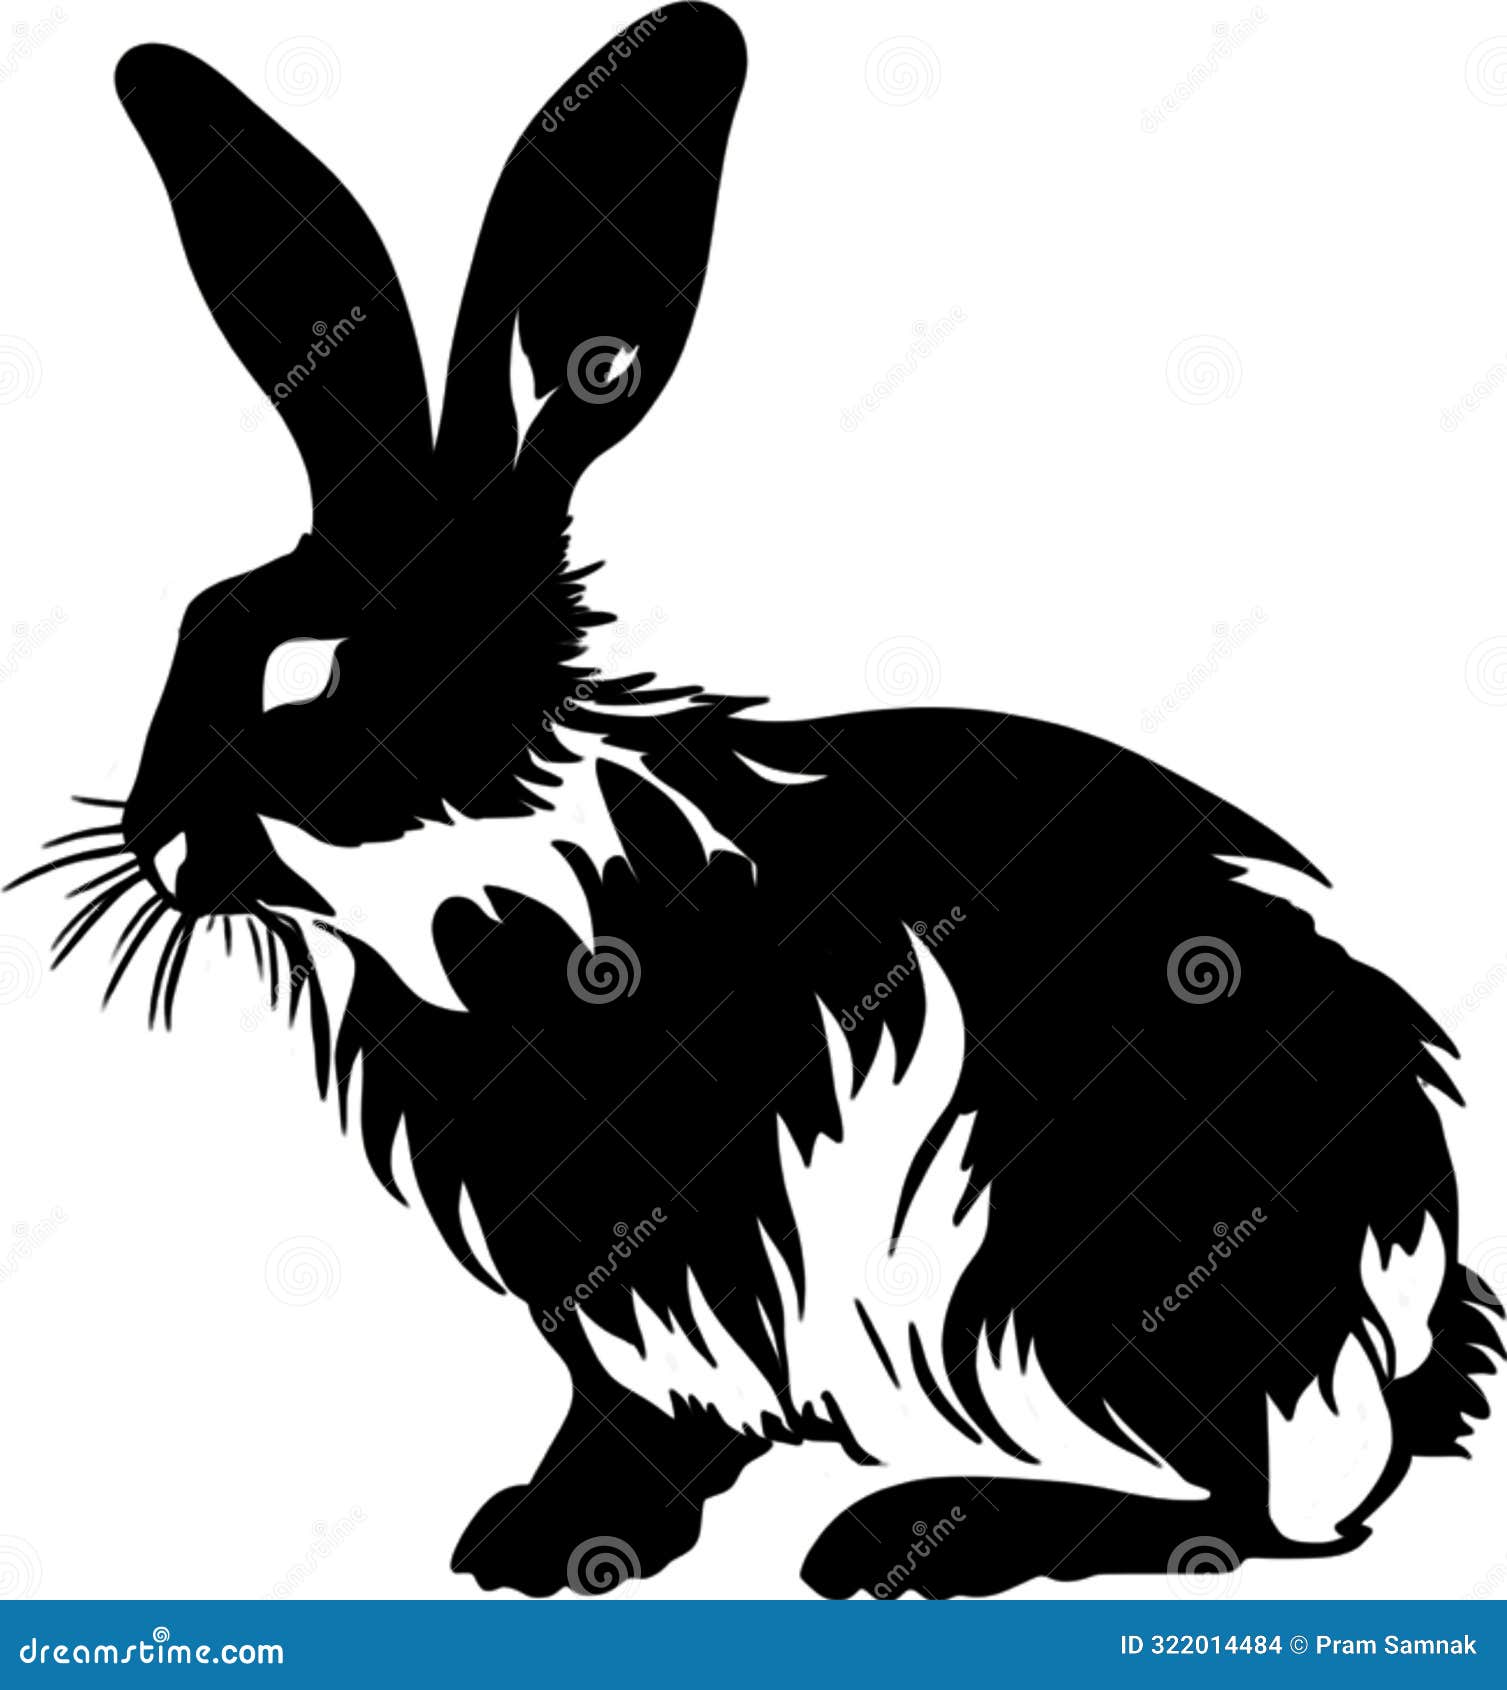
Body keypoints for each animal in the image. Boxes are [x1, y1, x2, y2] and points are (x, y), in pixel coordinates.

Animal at [9, 4, 1499, 1599]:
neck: (477, 860)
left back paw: (917, 1536)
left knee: (1269, 1511)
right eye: (193, 625)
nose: (156, 837)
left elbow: (655, 1410)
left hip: (1082, 1277)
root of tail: (1408, 1295)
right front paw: (546, 1529)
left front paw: (558, 1542)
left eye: (315, 674)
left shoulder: (679, 1247)